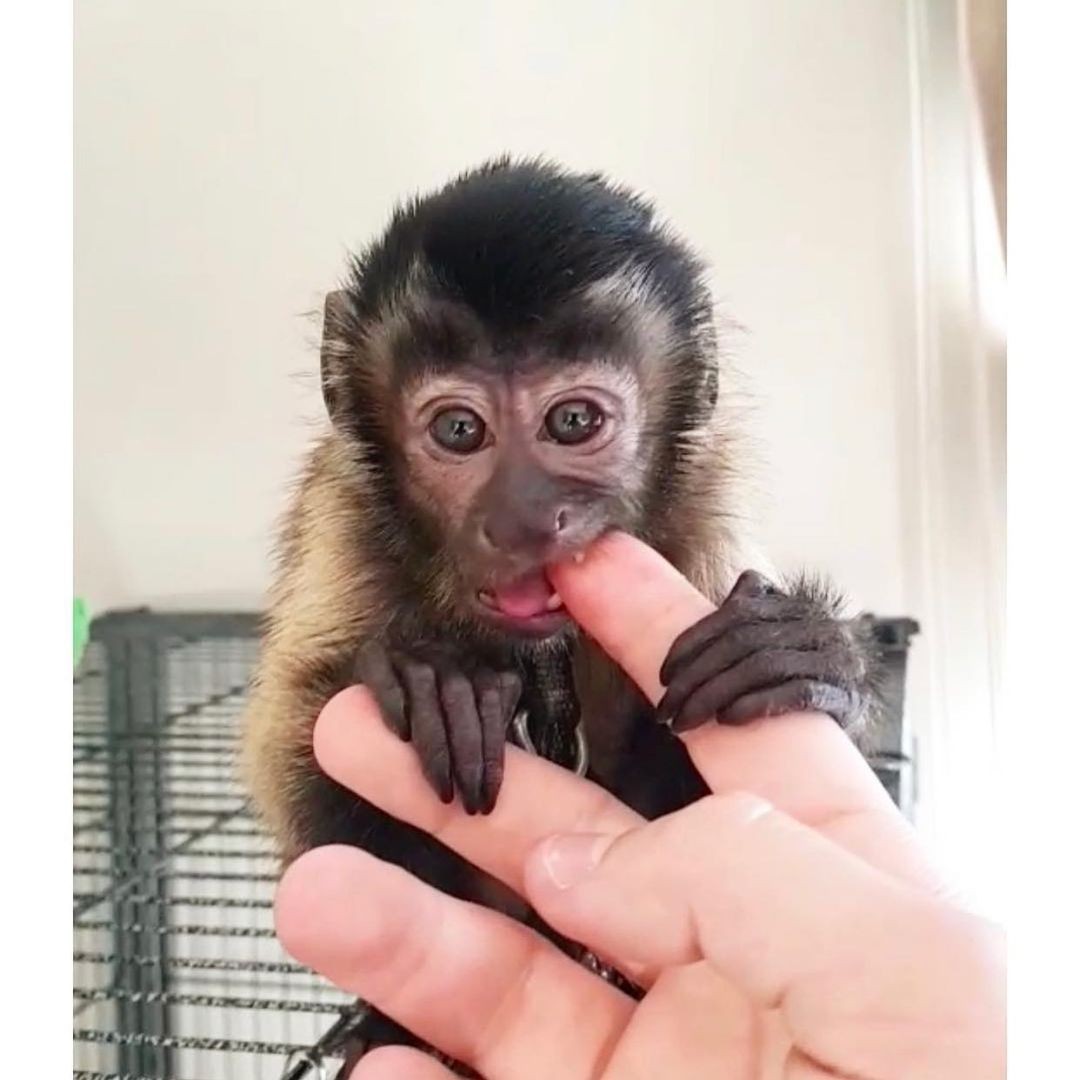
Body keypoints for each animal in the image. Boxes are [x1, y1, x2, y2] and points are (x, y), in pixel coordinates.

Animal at [239, 157, 880, 1069]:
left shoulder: (705, 502)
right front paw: (437, 681)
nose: (525, 518)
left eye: (573, 421)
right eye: (460, 430)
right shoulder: (344, 513)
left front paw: (807, 651)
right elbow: (298, 759)